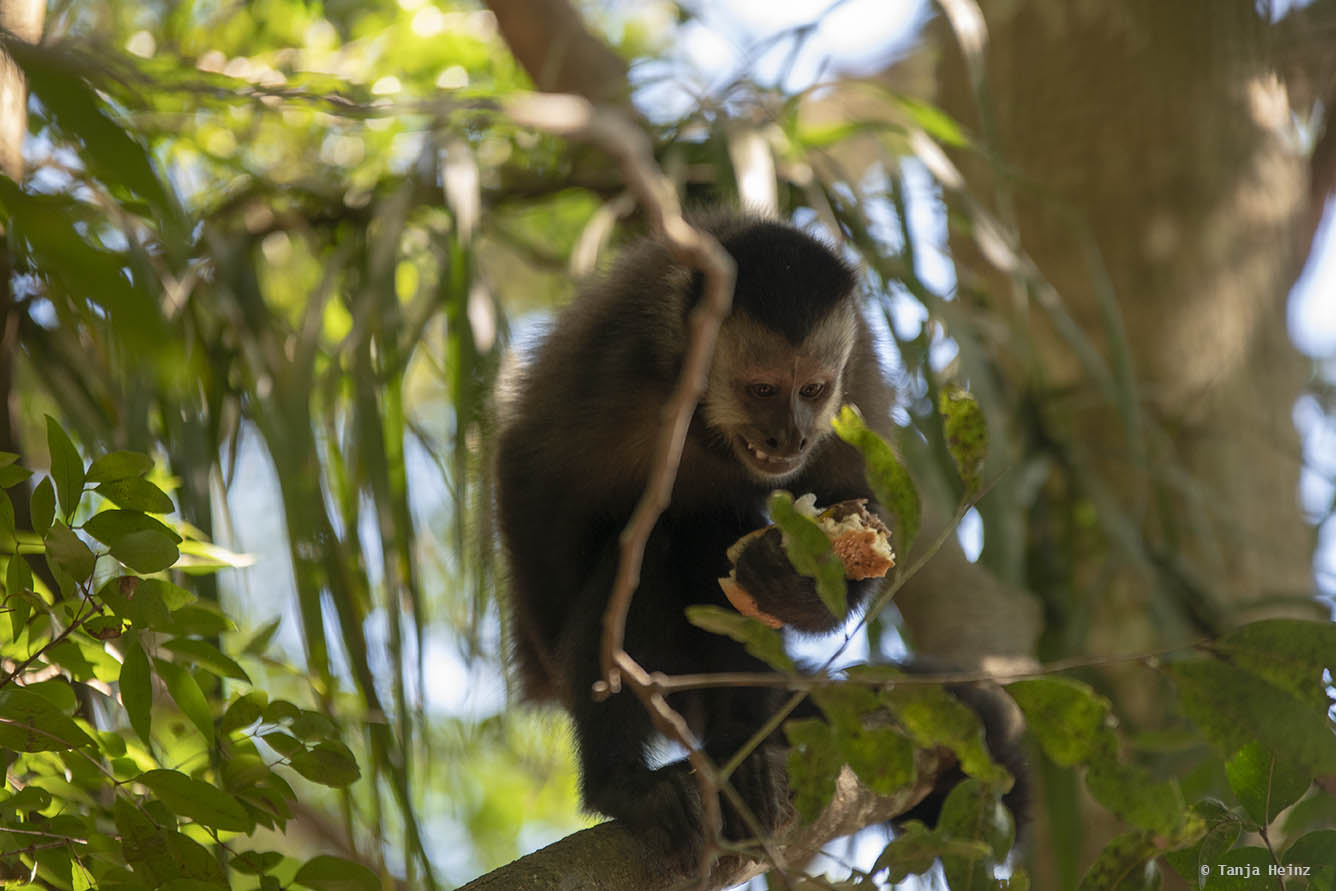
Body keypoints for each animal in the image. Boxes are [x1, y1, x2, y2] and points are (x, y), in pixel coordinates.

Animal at [495, 212, 1019, 870]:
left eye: (812, 390)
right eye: (763, 390)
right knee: (645, 551)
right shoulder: (608, 367)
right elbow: (530, 484)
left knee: (713, 543)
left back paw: (738, 753)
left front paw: (798, 582)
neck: (705, 427)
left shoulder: (857, 377)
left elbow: (858, 502)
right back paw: (626, 784)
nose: (790, 437)